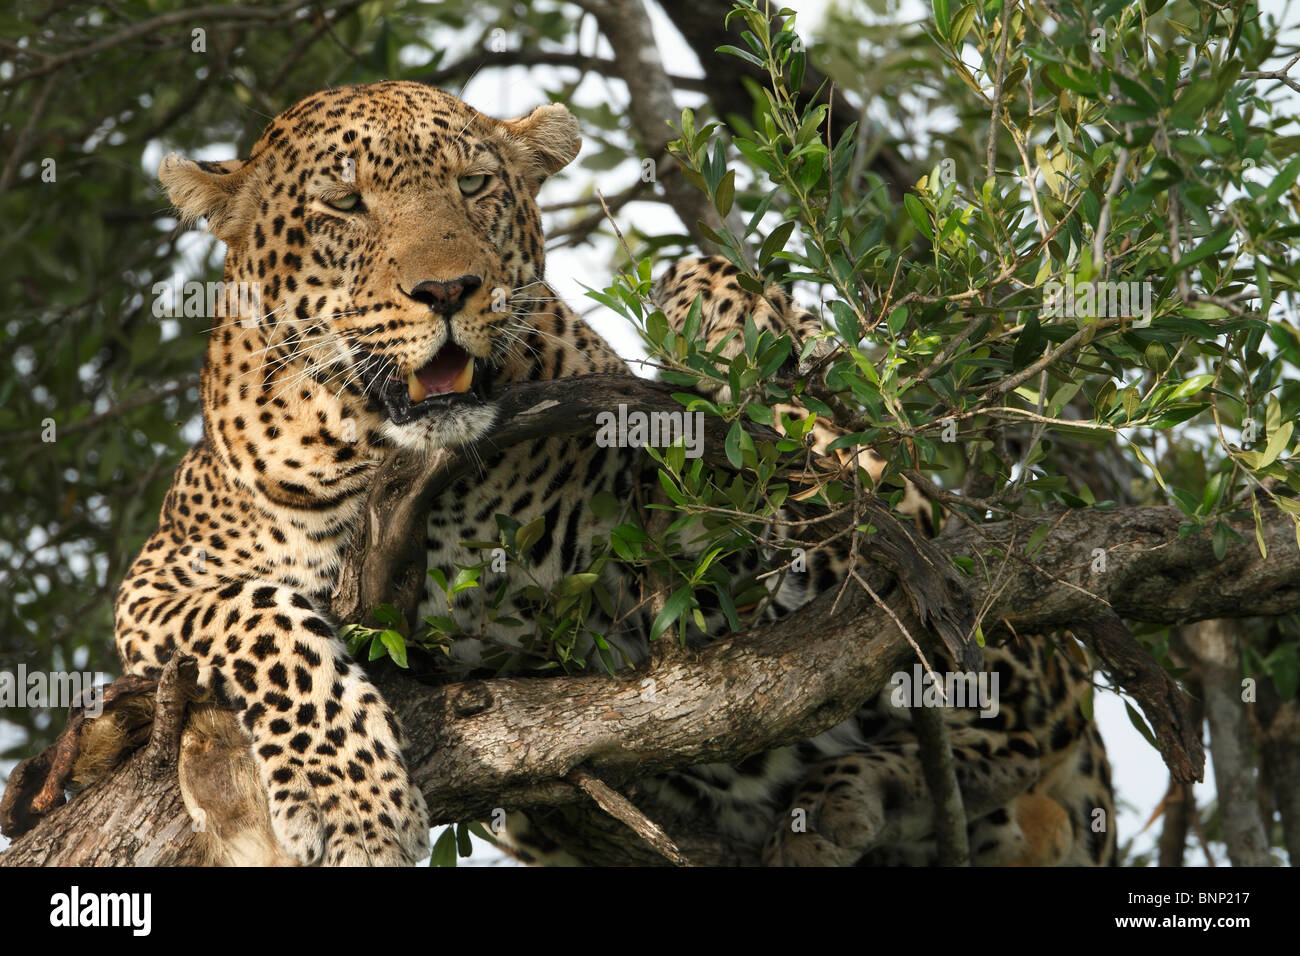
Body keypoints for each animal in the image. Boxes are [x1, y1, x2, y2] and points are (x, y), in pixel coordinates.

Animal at [113, 80, 1114, 867]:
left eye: (475, 186)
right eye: (344, 204)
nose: (449, 291)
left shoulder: (676, 597)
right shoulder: (157, 585)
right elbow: (266, 621)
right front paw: (353, 805)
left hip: (990, 622)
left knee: (1001, 703)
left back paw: (855, 790)